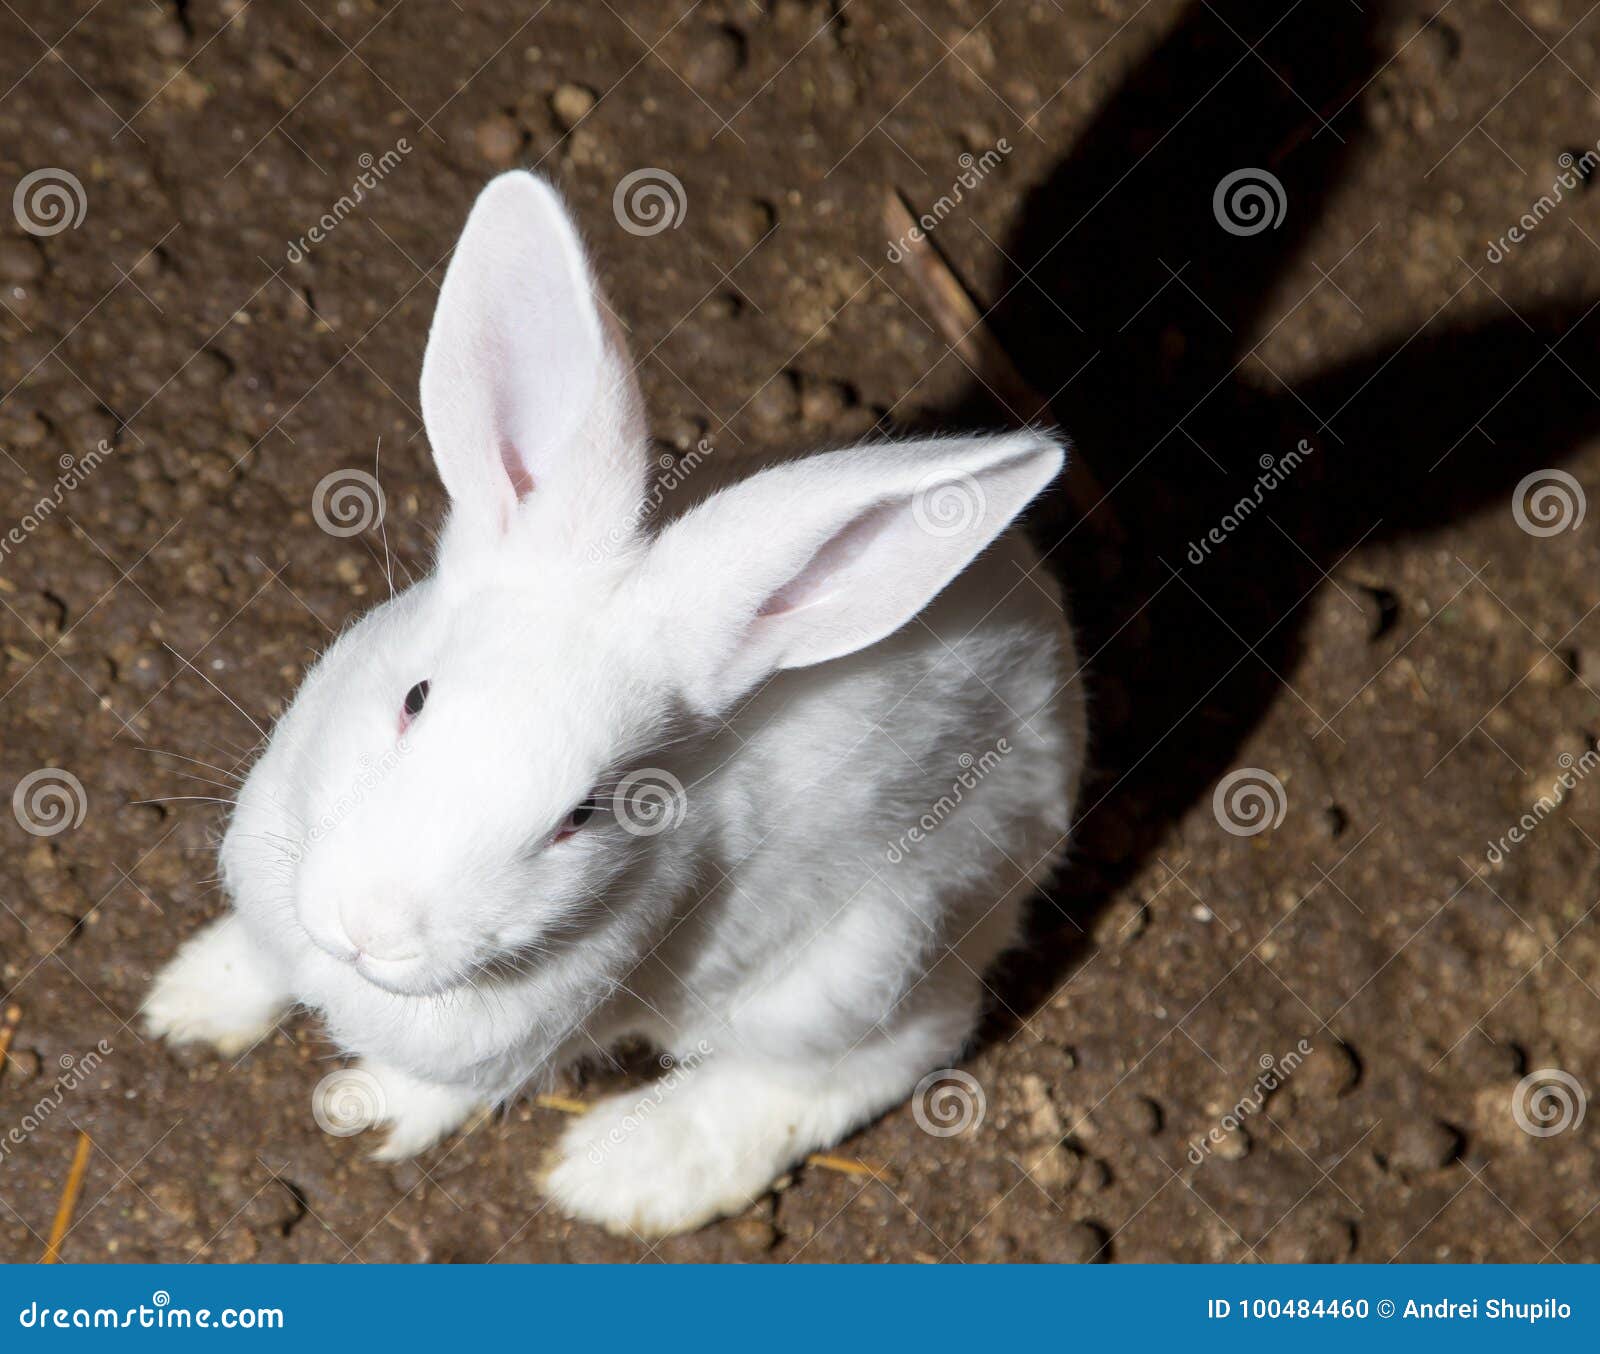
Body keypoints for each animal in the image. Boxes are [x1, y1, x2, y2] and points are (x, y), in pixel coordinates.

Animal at [141, 170, 1086, 1238]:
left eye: (585, 815)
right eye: (415, 698)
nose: (369, 927)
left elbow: (450, 1081)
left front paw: (370, 1108)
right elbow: (260, 962)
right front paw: (187, 1003)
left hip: (861, 962)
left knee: (876, 1059)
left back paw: (619, 1172)